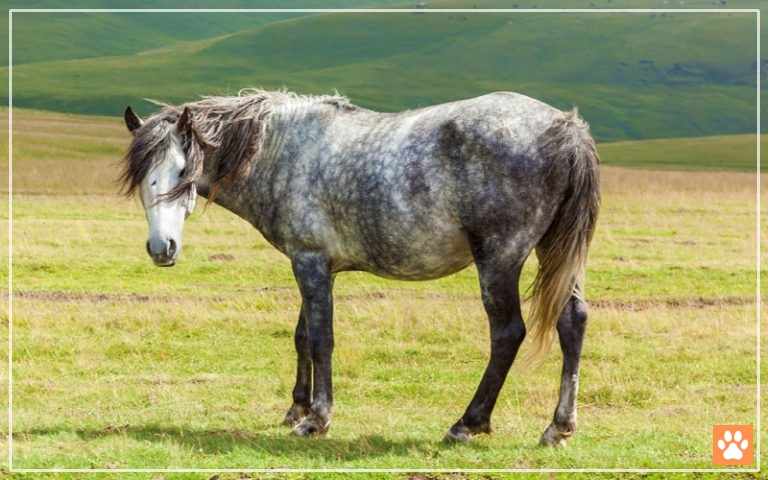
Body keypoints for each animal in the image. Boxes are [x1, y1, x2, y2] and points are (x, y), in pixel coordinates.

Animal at [119, 88, 600, 445]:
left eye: (183, 171)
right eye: (144, 177)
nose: (162, 248)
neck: (281, 150)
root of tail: (565, 128)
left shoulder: (310, 263)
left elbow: (321, 339)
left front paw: (317, 419)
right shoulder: (314, 264)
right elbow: (302, 337)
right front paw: (296, 407)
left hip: (499, 259)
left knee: (507, 333)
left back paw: (468, 423)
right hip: (556, 255)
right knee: (572, 323)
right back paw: (558, 428)